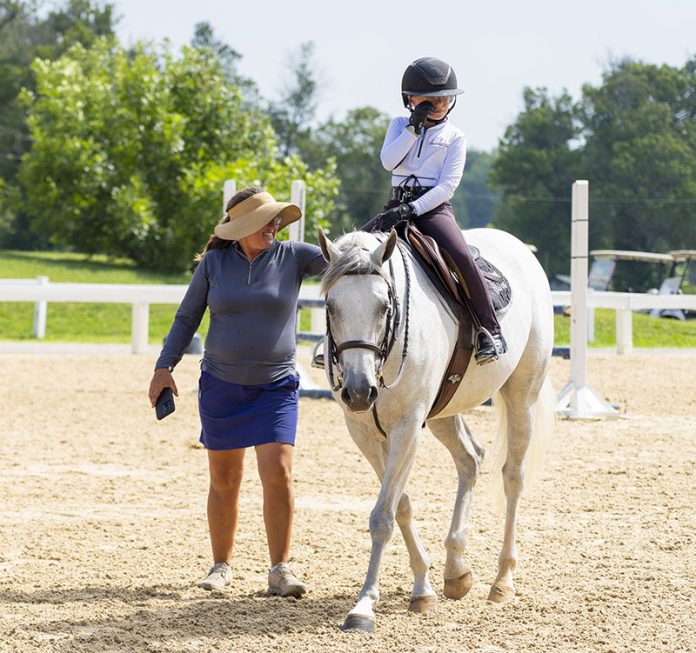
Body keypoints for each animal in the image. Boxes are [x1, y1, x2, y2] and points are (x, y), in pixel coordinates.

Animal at [317, 226, 555, 633]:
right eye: (331, 307)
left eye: (384, 307)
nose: (359, 391)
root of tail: (518, 246)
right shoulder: (363, 432)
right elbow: (400, 506)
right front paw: (422, 588)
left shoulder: (408, 428)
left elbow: (382, 516)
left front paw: (363, 607)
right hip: (445, 412)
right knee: (470, 460)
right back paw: (456, 571)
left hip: (522, 393)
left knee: (513, 476)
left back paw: (502, 581)